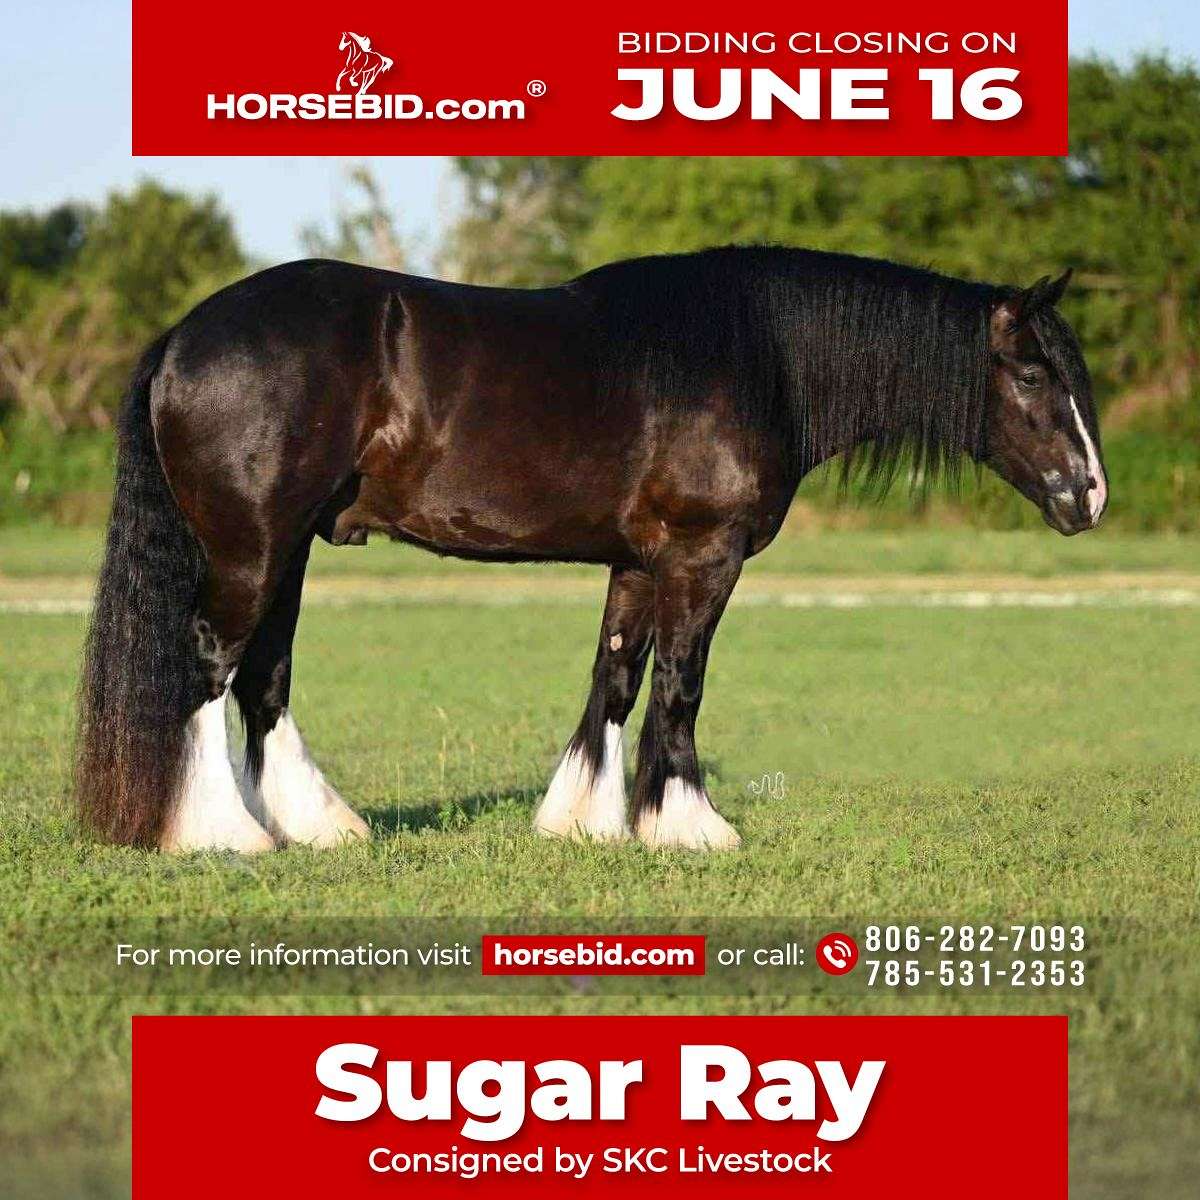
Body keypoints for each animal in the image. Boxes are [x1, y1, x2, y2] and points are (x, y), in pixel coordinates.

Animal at [75, 246, 1108, 855]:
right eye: (1030, 373)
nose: (1089, 495)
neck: (760, 355)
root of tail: (180, 337)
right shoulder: (703, 555)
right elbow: (682, 684)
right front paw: (688, 825)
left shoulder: (640, 562)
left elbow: (615, 676)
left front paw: (582, 820)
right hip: (251, 547)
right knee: (212, 666)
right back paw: (221, 834)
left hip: (287, 550)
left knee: (264, 679)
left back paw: (323, 827)